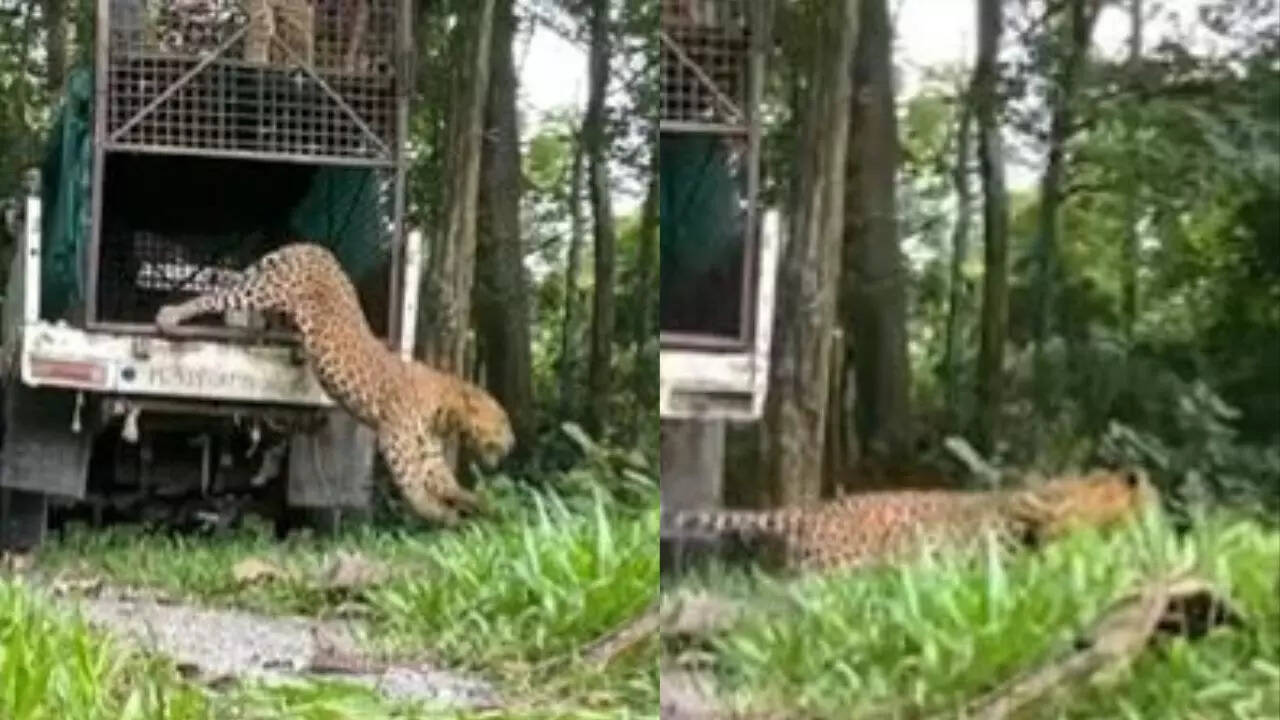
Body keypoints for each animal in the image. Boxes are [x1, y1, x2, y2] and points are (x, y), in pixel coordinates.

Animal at [153, 242, 515, 526]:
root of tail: (315, 248)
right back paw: (171, 315)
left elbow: (447, 483)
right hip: (268, 287)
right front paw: (441, 516)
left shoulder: (427, 451)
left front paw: (480, 504)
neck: (444, 408)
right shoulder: (396, 441)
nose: (513, 442)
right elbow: (414, 488)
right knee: (218, 296)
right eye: (502, 421)